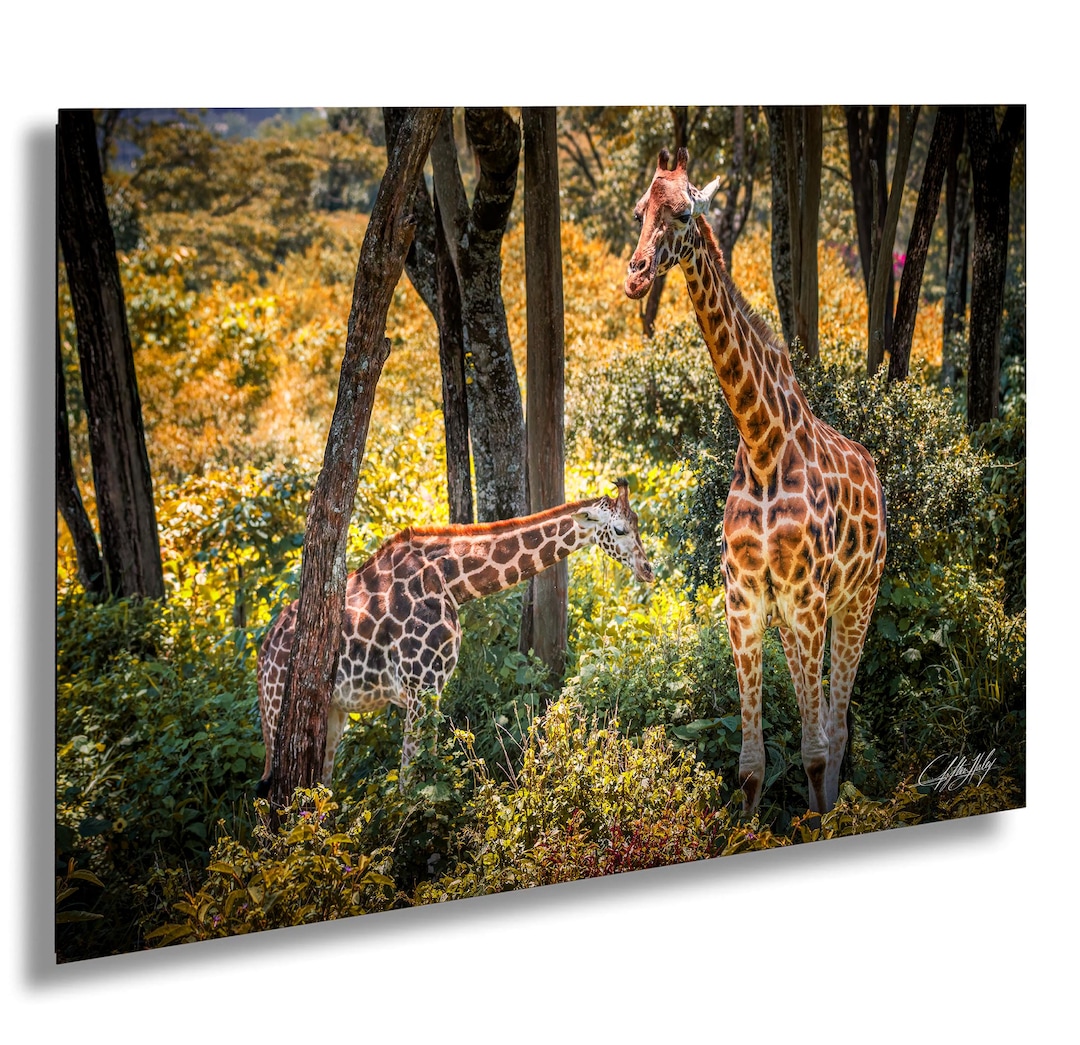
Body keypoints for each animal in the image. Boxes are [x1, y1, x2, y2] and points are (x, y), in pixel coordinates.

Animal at [256, 480, 654, 796]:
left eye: (637, 523)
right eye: (620, 529)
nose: (648, 569)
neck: (450, 578)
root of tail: (261, 654)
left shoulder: (429, 689)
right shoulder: (420, 686)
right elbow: (410, 778)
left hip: (333, 710)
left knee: (319, 784)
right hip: (277, 713)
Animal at [625, 147, 886, 814]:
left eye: (685, 213)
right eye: (640, 211)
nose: (636, 276)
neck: (764, 446)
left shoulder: (807, 595)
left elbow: (815, 749)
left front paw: (822, 821)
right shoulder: (743, 598)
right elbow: (750, 764)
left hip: (856, 597)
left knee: (836, 728)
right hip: (802, 612)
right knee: (821, 715)